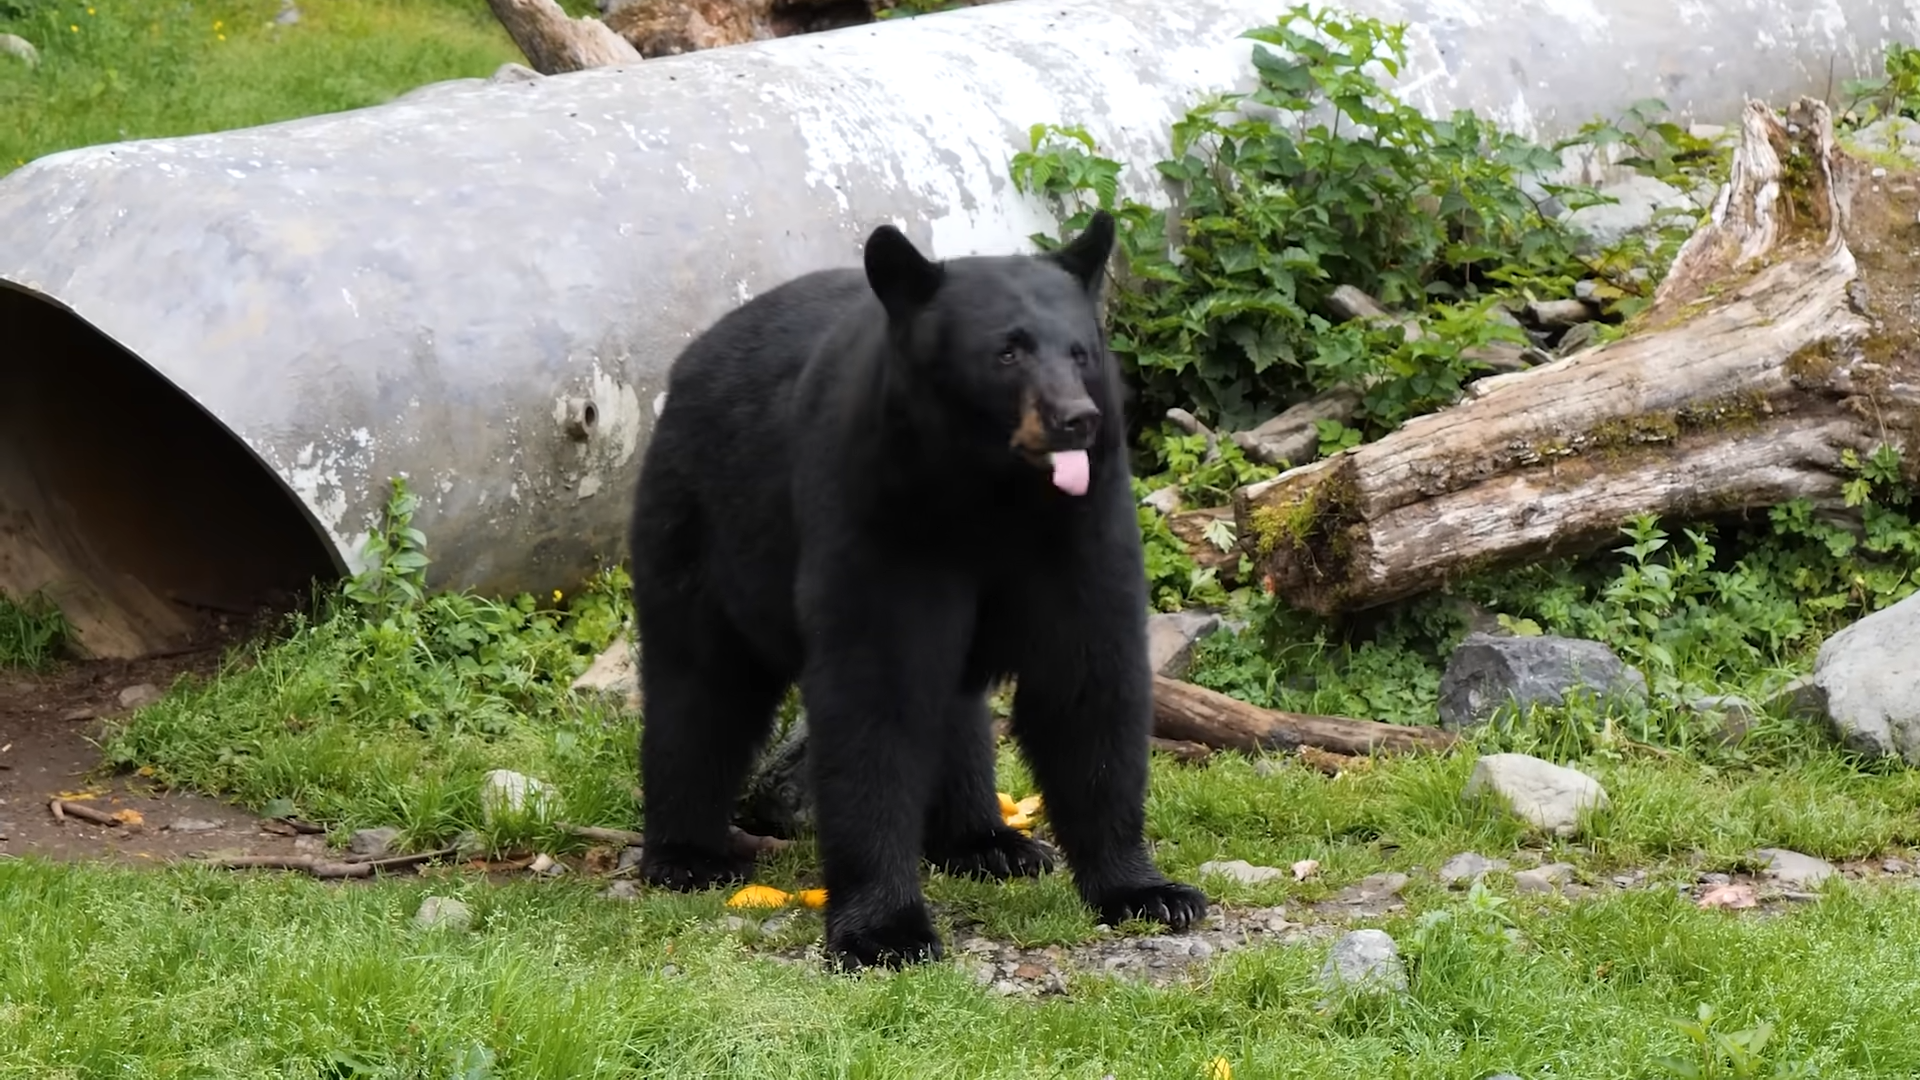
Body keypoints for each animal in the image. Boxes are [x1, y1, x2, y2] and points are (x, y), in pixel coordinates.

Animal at [626, 210, 1209, 969]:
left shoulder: (1083, 527)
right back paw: (688, 855)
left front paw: (1148, 891)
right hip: (698, 520)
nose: (1075, 419)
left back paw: (986, 842)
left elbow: (1088, 680)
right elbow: (876, 695)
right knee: (700, 686)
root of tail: (691, 357)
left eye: (1081, 351)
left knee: (954, 710)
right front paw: (885, 930)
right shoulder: (878, 512)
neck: (991, 496)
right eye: (1007, 353)